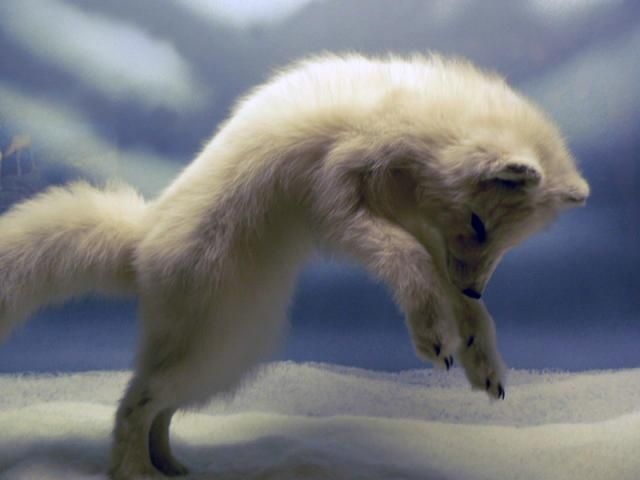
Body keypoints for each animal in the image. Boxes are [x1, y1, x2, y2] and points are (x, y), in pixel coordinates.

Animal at [0, 53, 589, 478]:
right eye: (479, 223)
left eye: (509, 243)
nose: (476, 290)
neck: (413, 129)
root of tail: (145, 239)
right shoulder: (339, 191)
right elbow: (405, 258)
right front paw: (433, 336)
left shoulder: (423, 229)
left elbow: (440, 280)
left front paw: (481, 357)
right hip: (222, 347)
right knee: (134, 400)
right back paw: (133, 472)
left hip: (225, 350)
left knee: (156, 402)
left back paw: (172, 465)